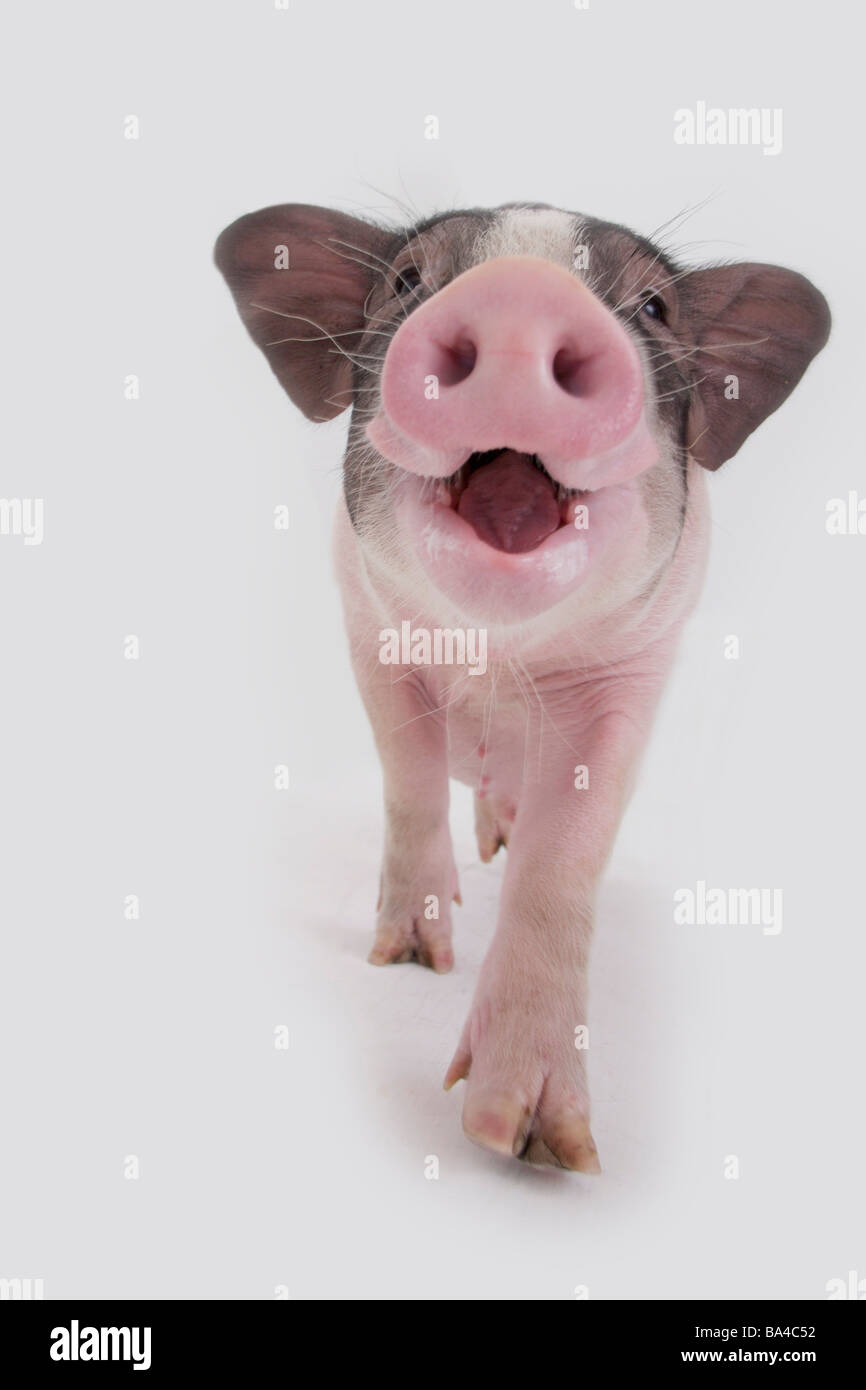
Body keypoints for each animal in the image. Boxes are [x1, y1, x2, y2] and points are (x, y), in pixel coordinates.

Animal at [215, 202, 829, 1171]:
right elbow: (409, 780)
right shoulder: (368, 633)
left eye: (654, 306)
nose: (521, 291)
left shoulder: (636, 673)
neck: (495, 658)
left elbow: (567, 851)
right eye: (408, 280)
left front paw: (533, 1144)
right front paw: (408, 962)